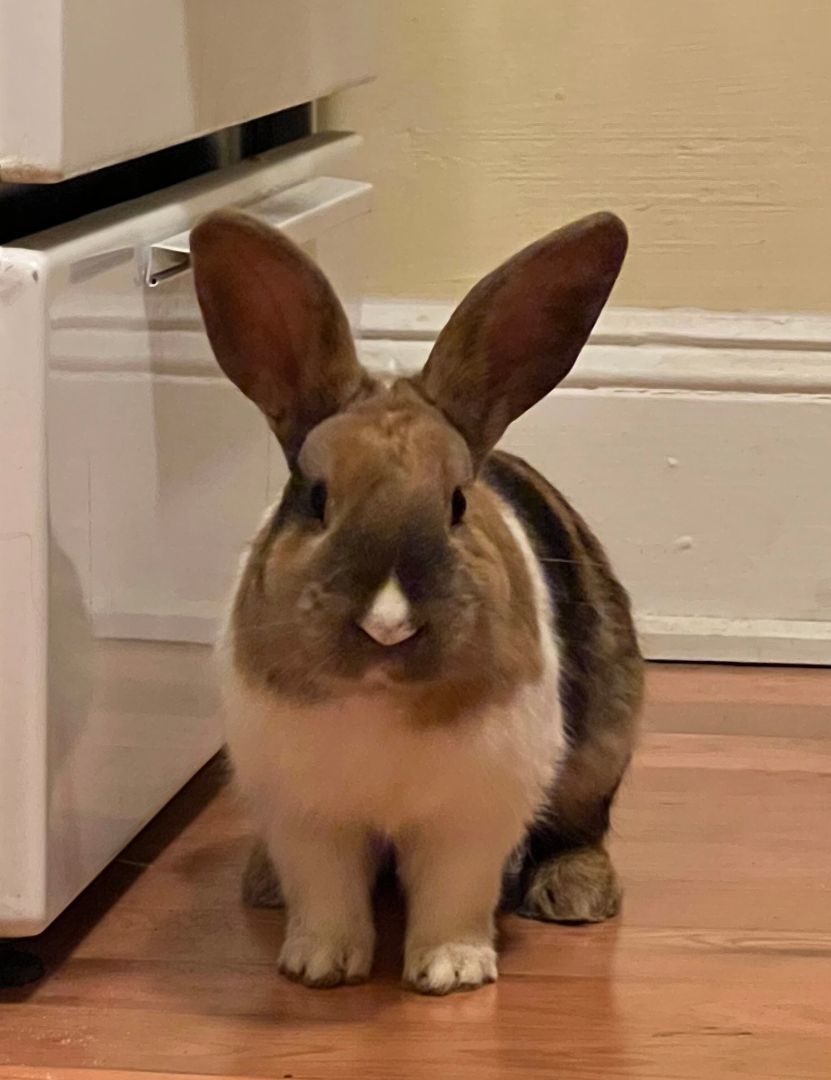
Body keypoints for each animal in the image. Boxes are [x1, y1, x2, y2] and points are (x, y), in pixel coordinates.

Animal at [189, 208, 643, 995]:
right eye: (316, 498)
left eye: (458, 502)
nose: (387, 624)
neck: (379, 699)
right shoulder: (307, 818)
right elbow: (327, 892)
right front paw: (319, 965)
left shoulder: (473, 815)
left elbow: (453, 896)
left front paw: (452, 973)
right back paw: (263, 886)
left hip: (602, 747)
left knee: (579, 827)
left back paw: (574, 893)